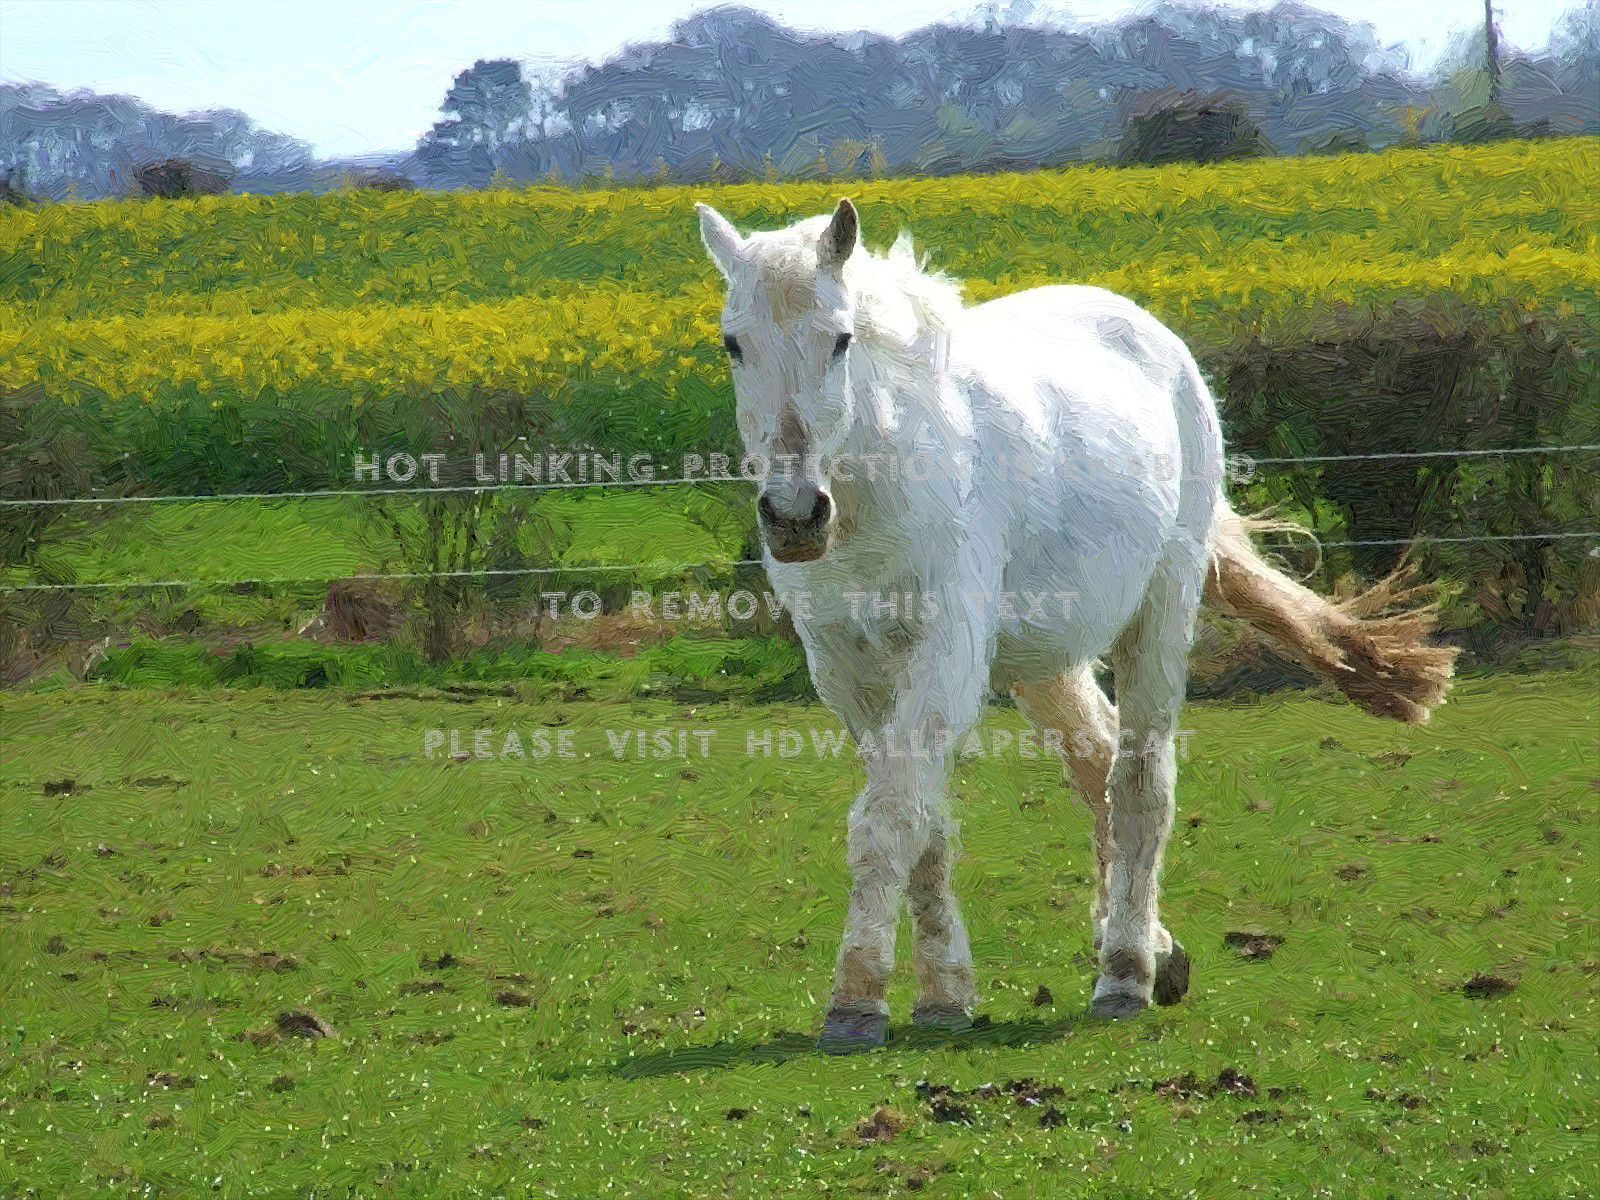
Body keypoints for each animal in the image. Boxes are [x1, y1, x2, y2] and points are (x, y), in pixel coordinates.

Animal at [696, 198, 1456, 1053]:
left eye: (840, 337)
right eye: (733, 343)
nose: (794, 516)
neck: (881, 484)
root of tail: (1155, 339)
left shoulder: (945, 657)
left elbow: (889, 821)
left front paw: (855, 1001)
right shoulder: (849, 674)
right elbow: (923, 823)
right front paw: (943, 995)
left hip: (1159, 614)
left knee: (1138, 785)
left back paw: (1123, 975)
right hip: (1042, 660)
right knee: (1096, 767)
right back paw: (1155, 952)